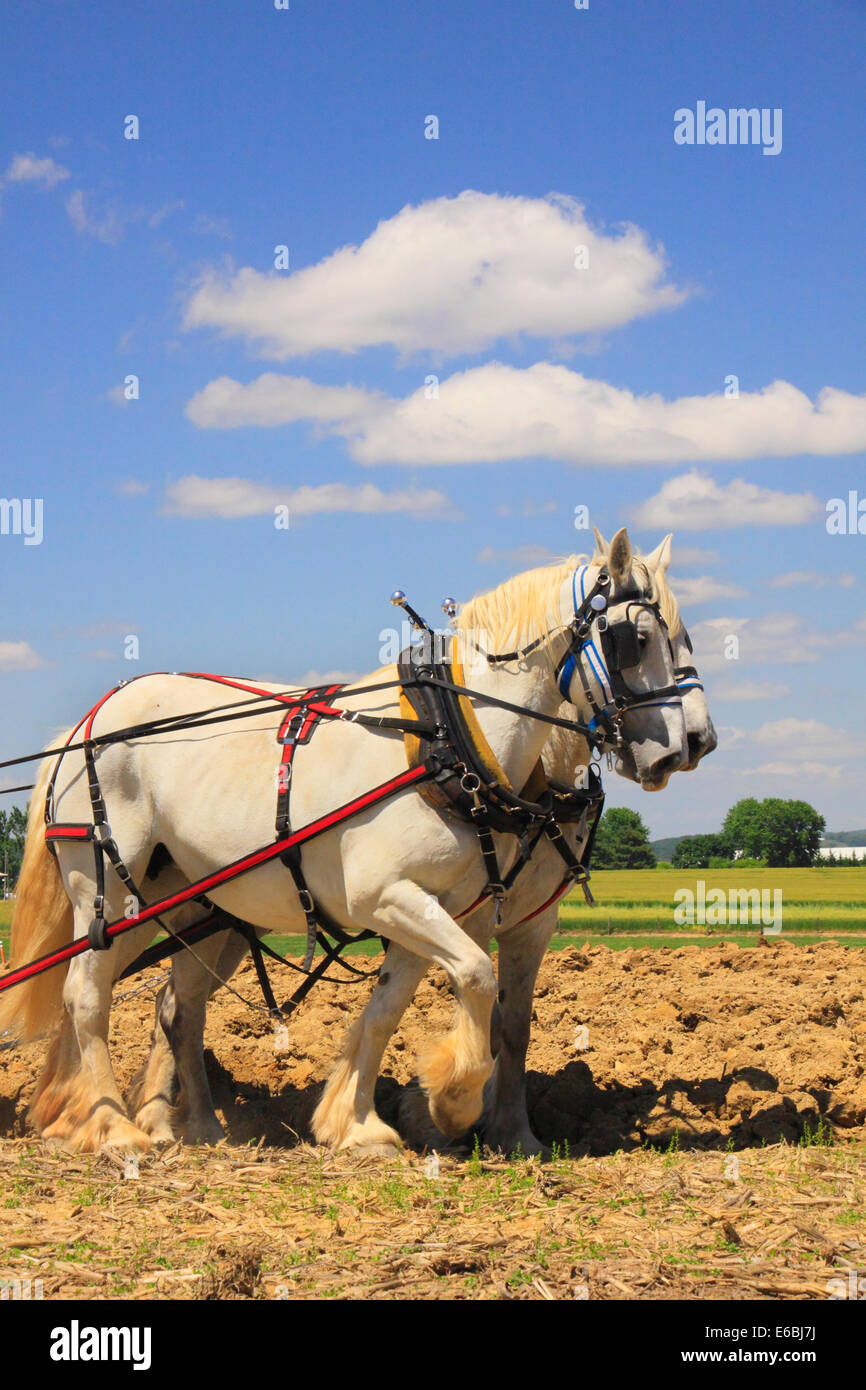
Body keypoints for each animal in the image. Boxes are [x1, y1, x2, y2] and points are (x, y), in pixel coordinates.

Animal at [1, 527, 691, 1155]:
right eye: (635, 640)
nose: (686, 748)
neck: (450, 737)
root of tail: (82, 727)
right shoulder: (387, 897)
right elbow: (475, 978)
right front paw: (450, 1102)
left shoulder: (444, 907)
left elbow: (398, 1008)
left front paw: (359, 1124)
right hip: (110, 888)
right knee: (87, 994)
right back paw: (114, 1127)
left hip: (188, 906)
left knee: (175, 1005)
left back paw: (178, 1126)